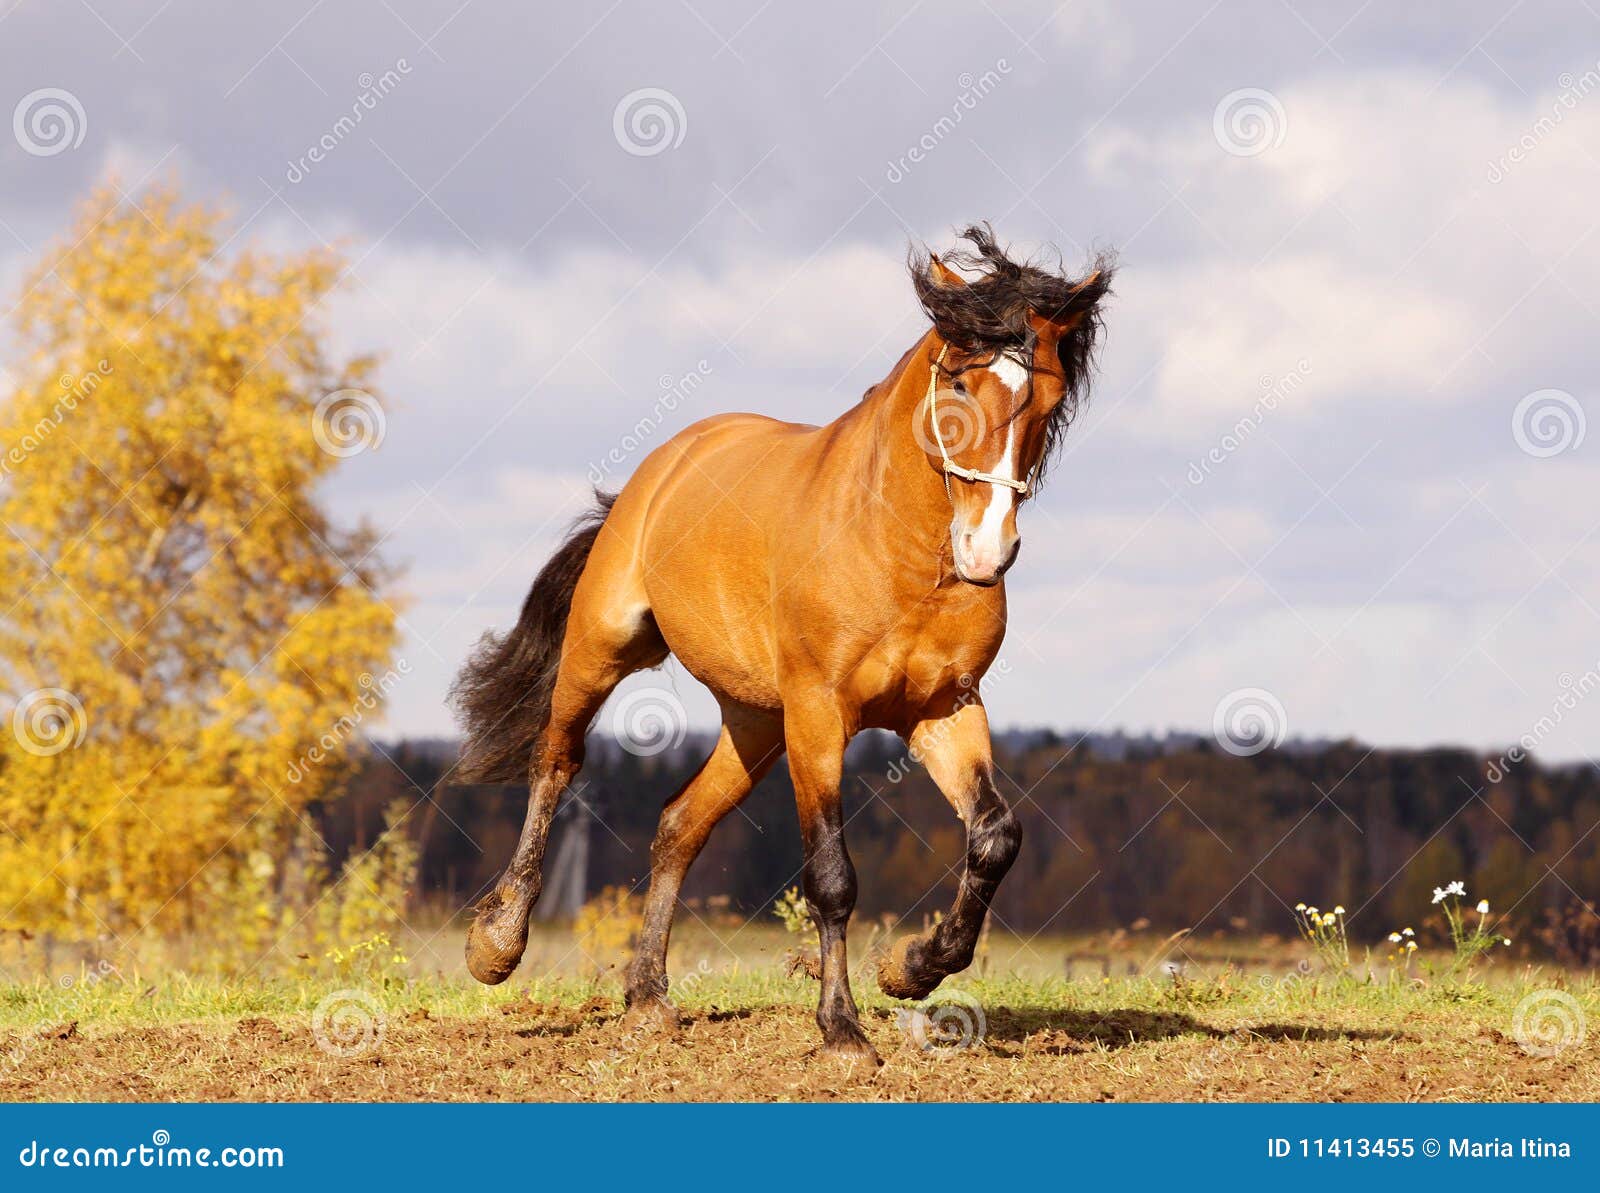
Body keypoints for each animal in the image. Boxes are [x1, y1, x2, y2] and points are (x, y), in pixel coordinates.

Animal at [449, 225, 1112, 1062]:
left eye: (1049, 402)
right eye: (960, 385)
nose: (987, 551)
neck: (893, 548)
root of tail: (662, 465)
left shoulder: (943, 711)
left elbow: (995, 837)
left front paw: (911, 968)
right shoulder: (819, 715)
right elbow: (831, 874)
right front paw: (843, 1030)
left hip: (754, 719)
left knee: (679, 824)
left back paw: (649, 998)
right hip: (605, 651)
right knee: (556, 761)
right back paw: (498, 943)